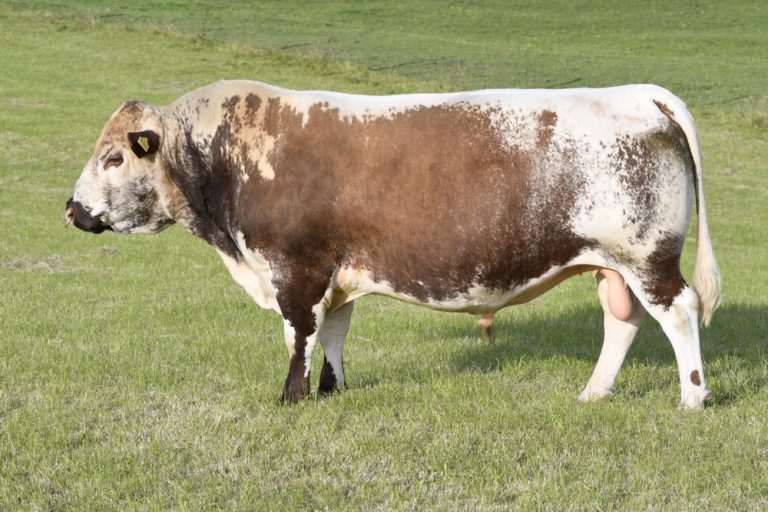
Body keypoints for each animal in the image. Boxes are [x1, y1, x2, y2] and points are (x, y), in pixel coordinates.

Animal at [65, 80, 721, 408]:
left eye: (114, 156)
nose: (72, 210)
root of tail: (637, 92)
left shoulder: (295, 270)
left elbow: (299, 335)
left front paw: (291, 398)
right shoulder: (337, 273)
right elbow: (333, 332)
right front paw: (332, 390)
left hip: (647, 256)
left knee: (679, 312)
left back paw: (692, 398)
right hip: (611, 262)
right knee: (623, 320)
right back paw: (593, 393)